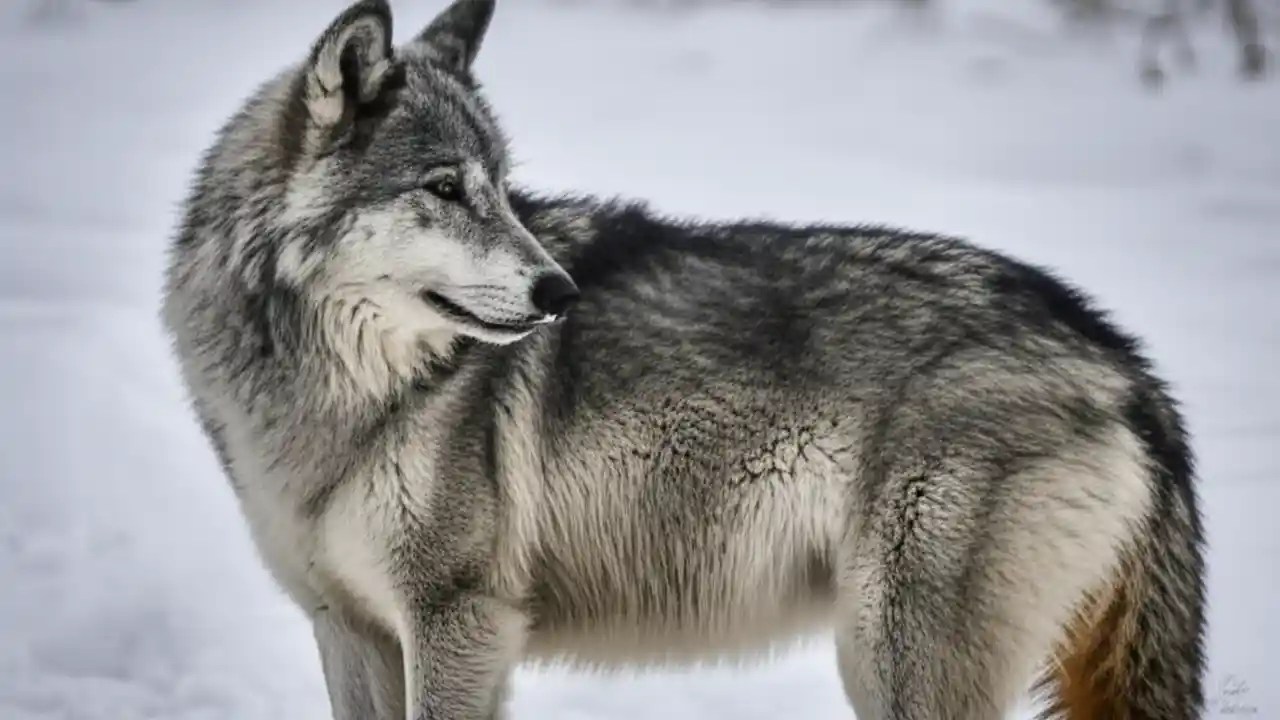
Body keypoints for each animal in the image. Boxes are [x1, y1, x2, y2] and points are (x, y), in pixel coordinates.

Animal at [160, 1, 1207, 718]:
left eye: (502, 188)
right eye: (445, 189)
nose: (559, 292)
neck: (337, 390)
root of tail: (1122, 357)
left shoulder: (460, 622)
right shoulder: (346, 627)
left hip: (891, 659)